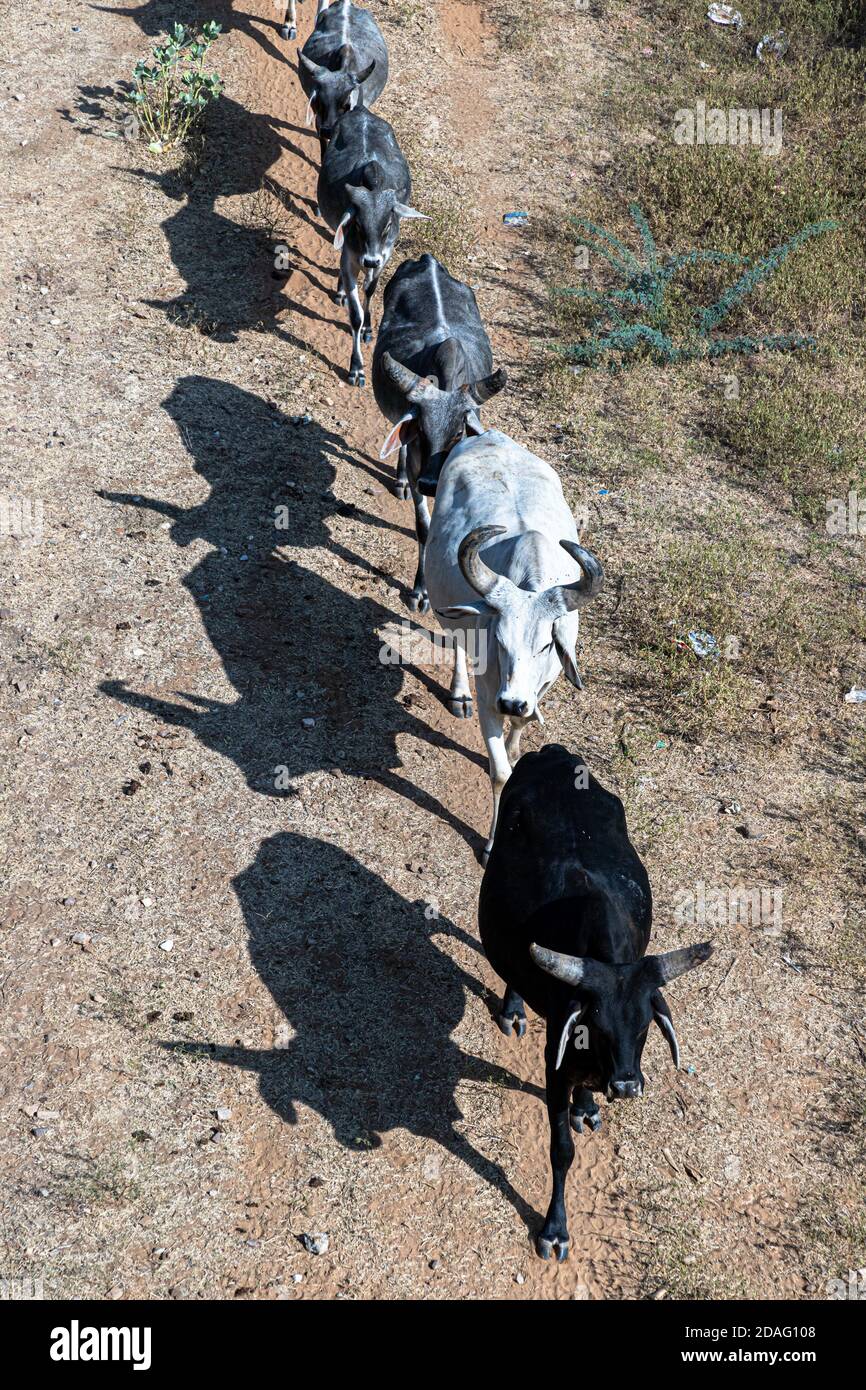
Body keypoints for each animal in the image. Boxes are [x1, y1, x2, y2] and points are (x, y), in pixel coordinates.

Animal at [318, 112, 426, 388]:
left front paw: (368, 327)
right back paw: (341, 291)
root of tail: (361, 112)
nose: (370, 261)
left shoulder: (384, 256)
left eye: (388, 224)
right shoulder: (350, 257)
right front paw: (356, 368)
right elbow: (354, 315)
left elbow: (370, 290)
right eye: (357, 223)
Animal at [372, 255, 507, 610]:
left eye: (459, 432)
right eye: (421, 429)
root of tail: (428, 260)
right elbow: (424, 526)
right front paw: (421, 591)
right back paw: (401, 480)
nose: (430, 483)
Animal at [424, 430, 602, 859]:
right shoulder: (491, 695)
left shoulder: (542, 687)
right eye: (499, 639)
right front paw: (491, 845)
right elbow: (501, 772)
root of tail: (489, 435)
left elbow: (520, 733)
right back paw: (459, 693)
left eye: (546, 646)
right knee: (457, 644)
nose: (511, 702)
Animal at [479, 744, 714, 1259]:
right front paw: (554, 1229)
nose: (625, 1086)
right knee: (512, 971)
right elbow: (561, 1150)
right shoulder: (555, 1064)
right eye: (596, 1026)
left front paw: (586, 1106)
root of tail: (551, 753)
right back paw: (512, 1009)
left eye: (645, 1025)